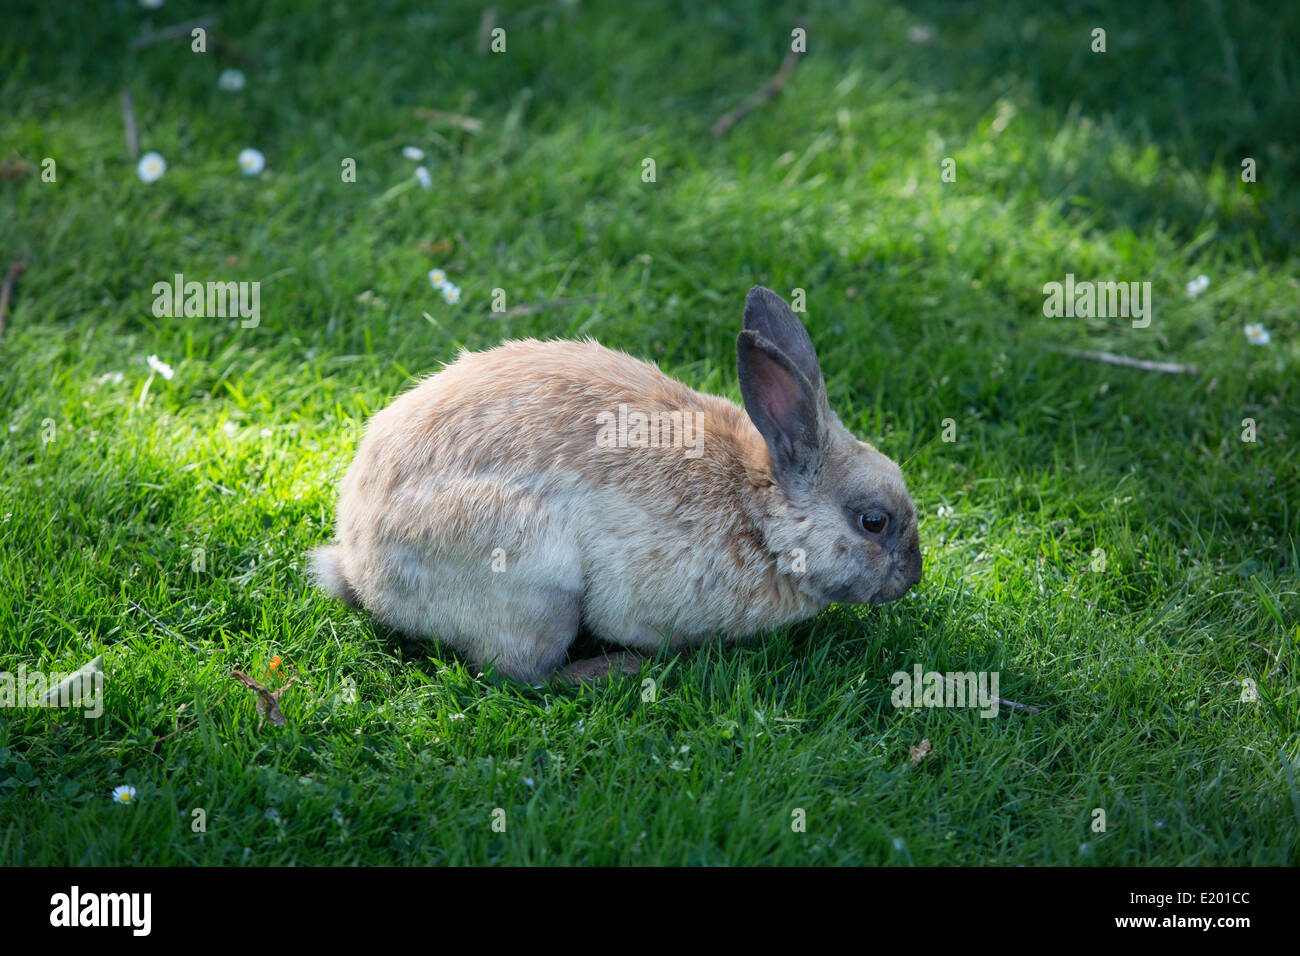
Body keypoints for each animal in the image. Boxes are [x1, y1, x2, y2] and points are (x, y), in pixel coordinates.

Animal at [311, 286, 922, 684]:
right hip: (537, 583)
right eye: (873, 522)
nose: (912, 577)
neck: (760, 511)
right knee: (520, 674)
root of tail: (359, 566)